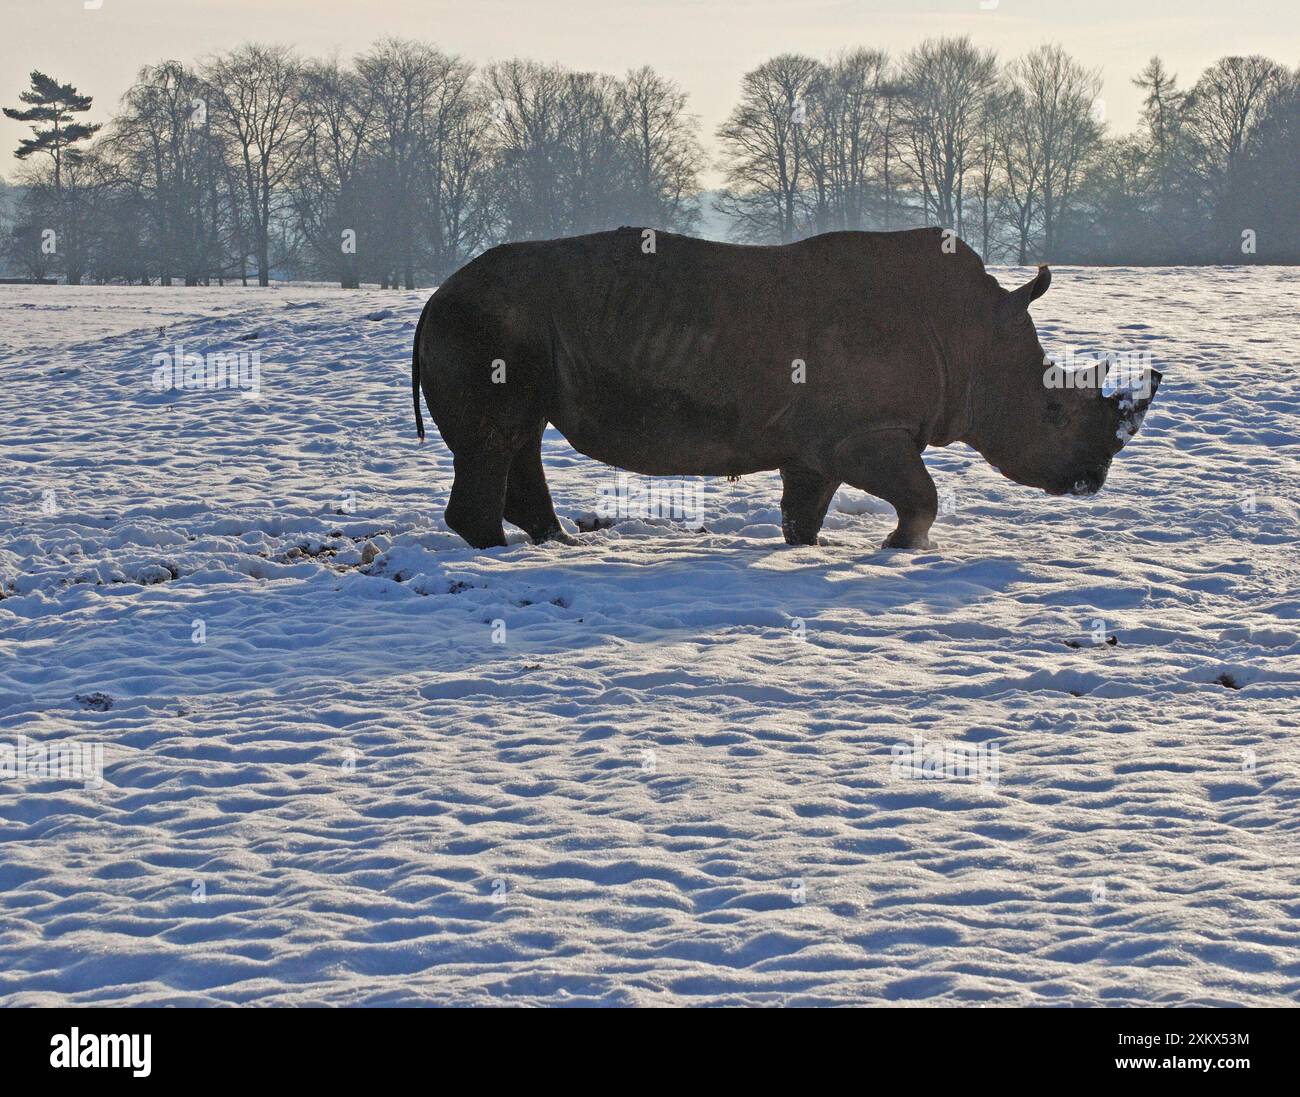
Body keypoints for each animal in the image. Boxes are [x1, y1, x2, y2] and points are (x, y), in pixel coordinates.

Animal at [412, 227, 1160, 550]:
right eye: (1054, 410)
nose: (1092, 479)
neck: (977, 335)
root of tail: (431, 299)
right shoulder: (867, 430)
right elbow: (922, 495)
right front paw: (901, 549)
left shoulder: (820, 442)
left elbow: (805, 511)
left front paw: (811, 550)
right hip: (485, 322)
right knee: (501, 437)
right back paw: (500, 553)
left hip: (503, 325)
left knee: (523, 436)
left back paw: (557, 544)